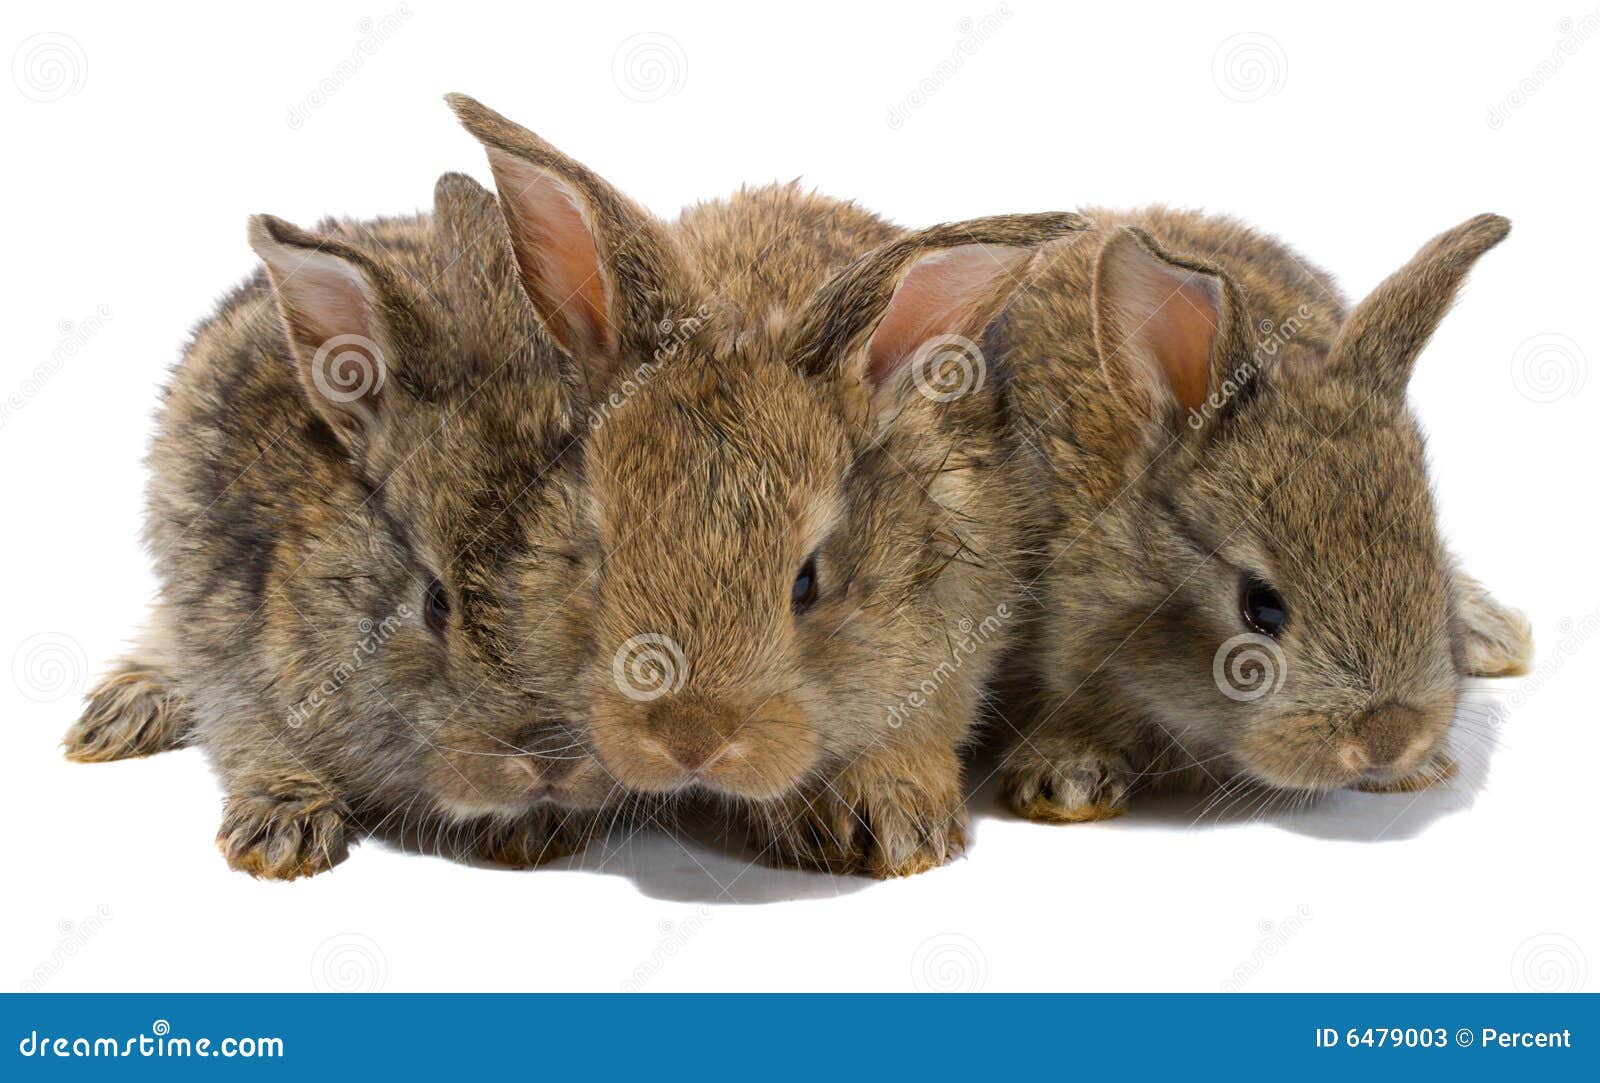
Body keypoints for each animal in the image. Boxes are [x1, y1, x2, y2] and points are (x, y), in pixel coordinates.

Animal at [63, 172, 626, 878]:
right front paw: (282, 831)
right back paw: (125, 709)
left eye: (600, 581)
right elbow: (247, 730)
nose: (549, 761)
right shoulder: (225, 635)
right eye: (435, 603)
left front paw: (533, 830)